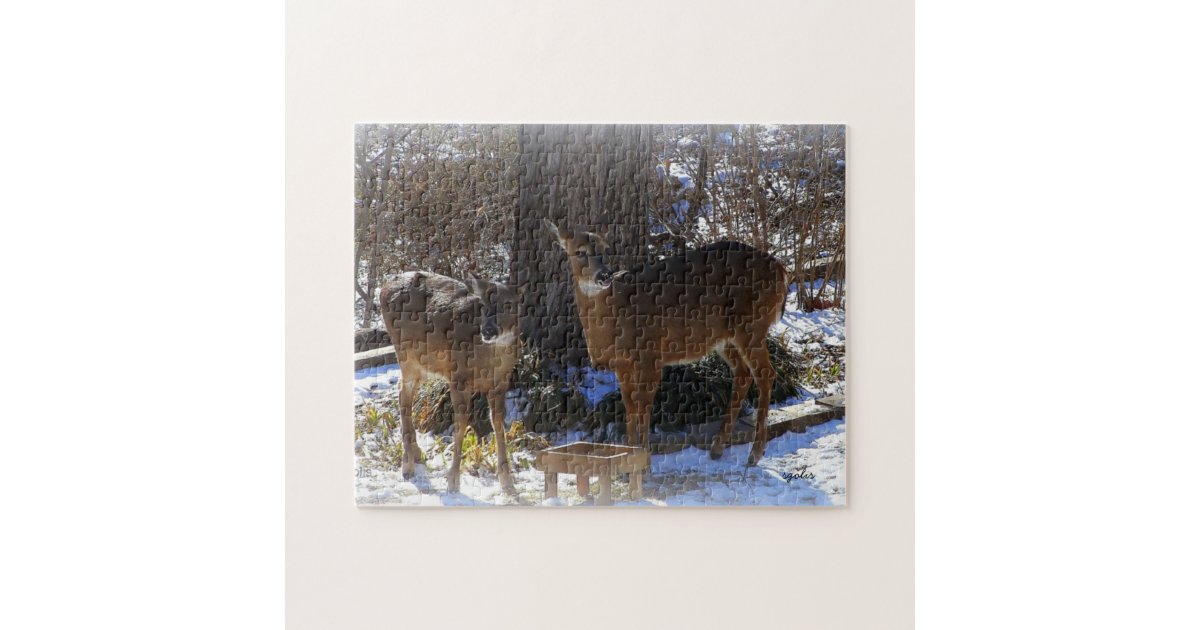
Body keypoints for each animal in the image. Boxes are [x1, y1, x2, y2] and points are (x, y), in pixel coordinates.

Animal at [379, 270, 520, 495]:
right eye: (483, 305)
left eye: (508, 304)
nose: (488, 330)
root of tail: (383, 287)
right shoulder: (458, 378)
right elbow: (460, 425)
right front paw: (453, 481)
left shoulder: (501, 383)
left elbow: (498, 425)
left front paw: (508, 483)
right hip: (405, 353)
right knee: (403, 395)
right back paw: (408, 465)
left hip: (423, 362)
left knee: (404, 393)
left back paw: (415, 454)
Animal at [544, 218, 789, 467]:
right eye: (579, 252)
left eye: (605, 250)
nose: (604, 275)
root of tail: (782, 270)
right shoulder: (622, 364)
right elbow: (630, 408)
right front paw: (628, 456)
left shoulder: (651, 354)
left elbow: (643, 408)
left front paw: (643, 460)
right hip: (725, 337)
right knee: (743, 374)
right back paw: (717, 449)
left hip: (752, 325)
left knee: (765, 374)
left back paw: (754, 454)